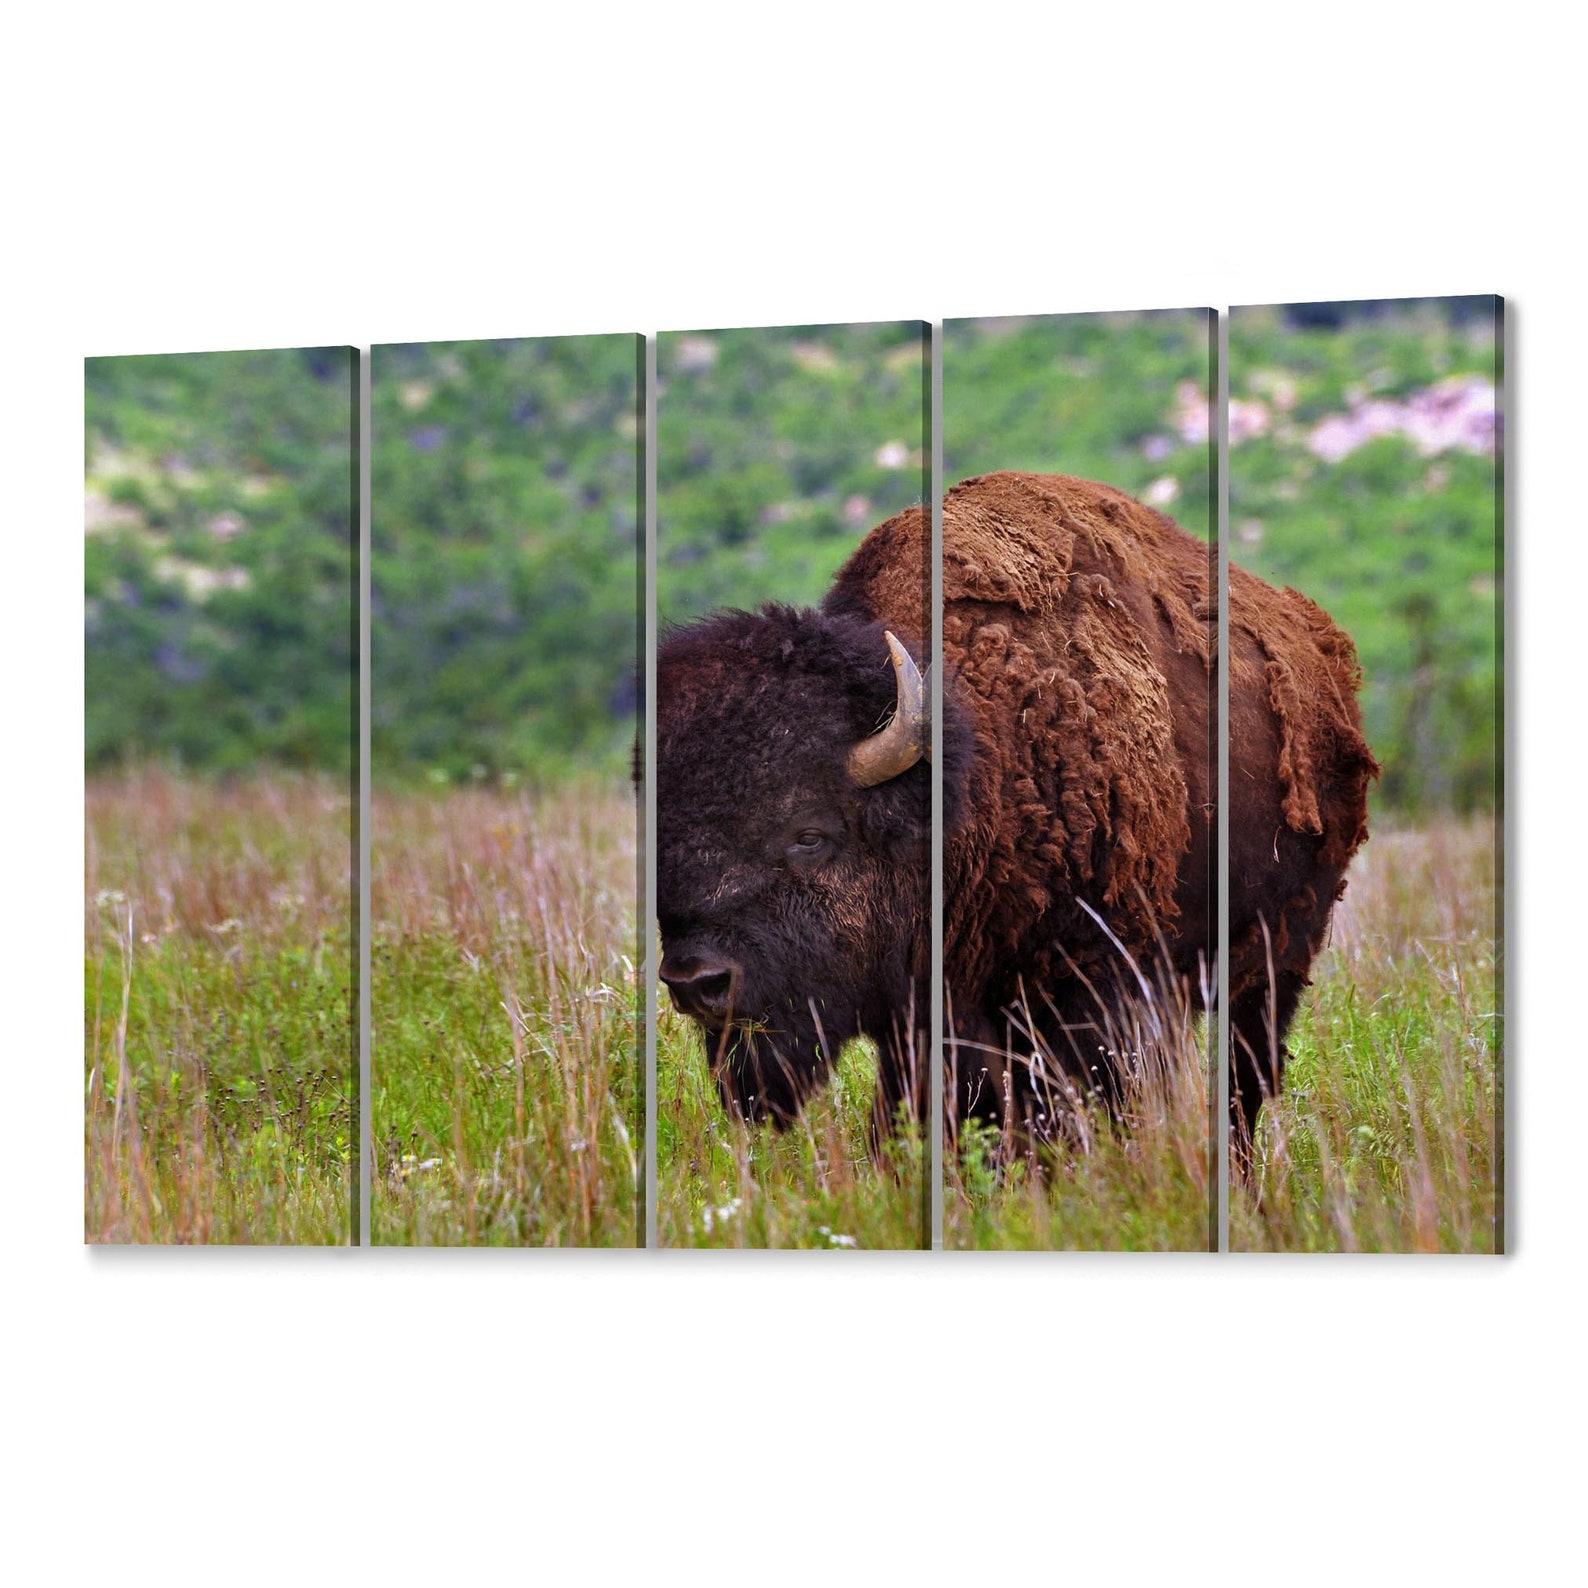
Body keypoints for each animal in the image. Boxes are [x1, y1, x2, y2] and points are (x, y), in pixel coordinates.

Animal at [656, 471, 1377, 1155]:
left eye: (809, 834)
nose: (697, 980)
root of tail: (1323, 653)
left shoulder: (1092, 988)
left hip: (1275, 958)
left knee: (1242, 1083)